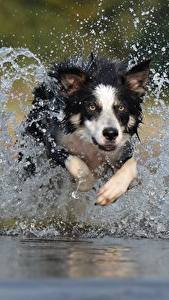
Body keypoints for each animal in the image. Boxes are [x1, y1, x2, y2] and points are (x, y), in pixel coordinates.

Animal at [24, 54, 151, 205]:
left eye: (121, 108)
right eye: (91, 107)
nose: (111, 133)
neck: (91, 145)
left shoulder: (122, 149)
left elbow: (131, 165)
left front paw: (111, 190)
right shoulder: (53, 141)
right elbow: (77, 165)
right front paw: (85, 183)